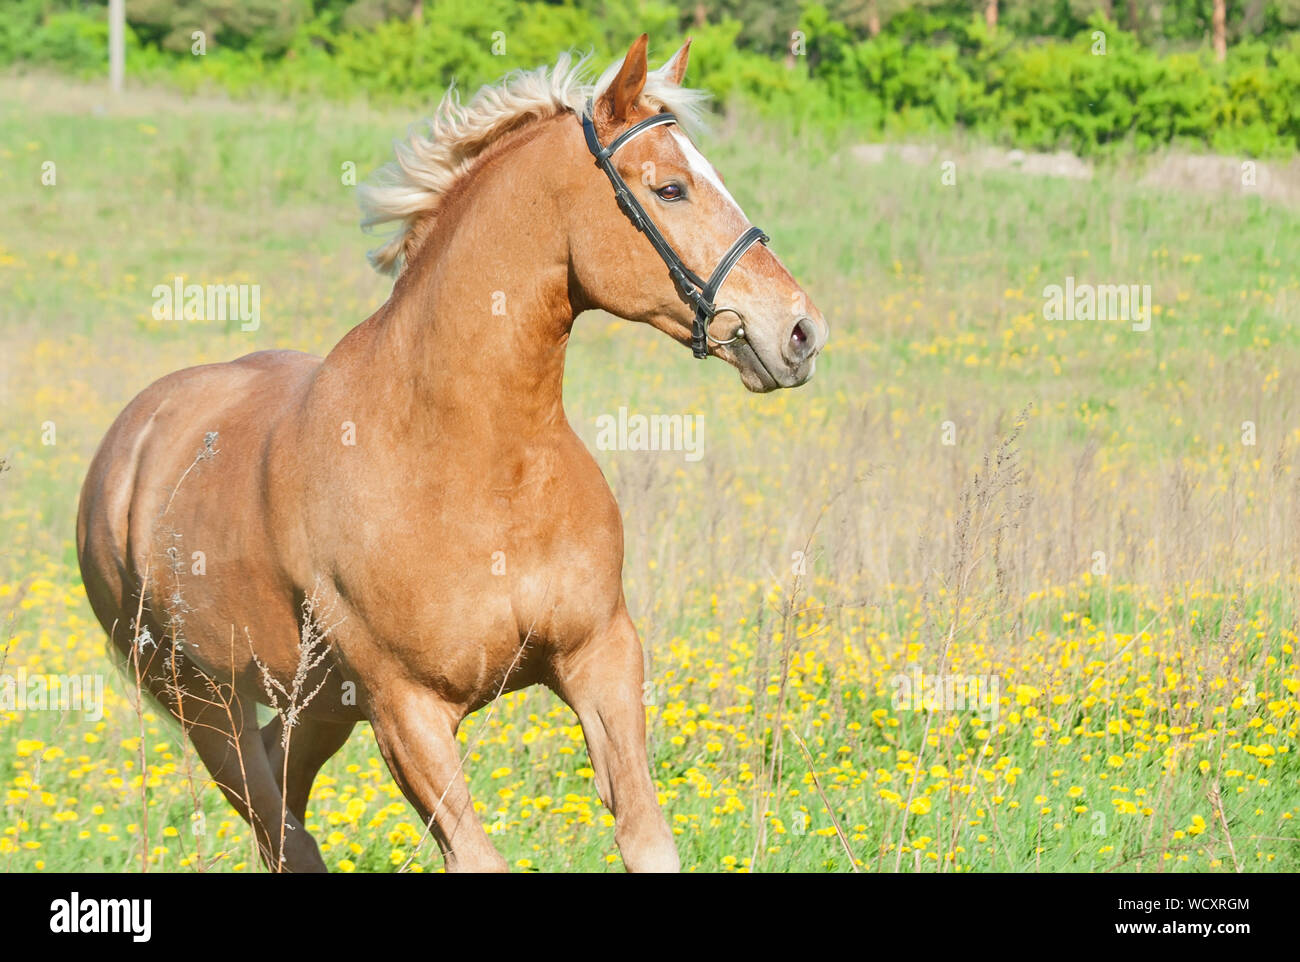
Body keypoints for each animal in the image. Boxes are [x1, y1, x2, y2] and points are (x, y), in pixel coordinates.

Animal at [76, 34, 827, 873]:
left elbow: (645, 836)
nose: (800, 331)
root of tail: (128, 443)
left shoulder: (599, 655)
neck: (477, 466)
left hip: (317, 707)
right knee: (275, 821)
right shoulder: (408, 713)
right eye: (669, 189)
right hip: (206, 706)